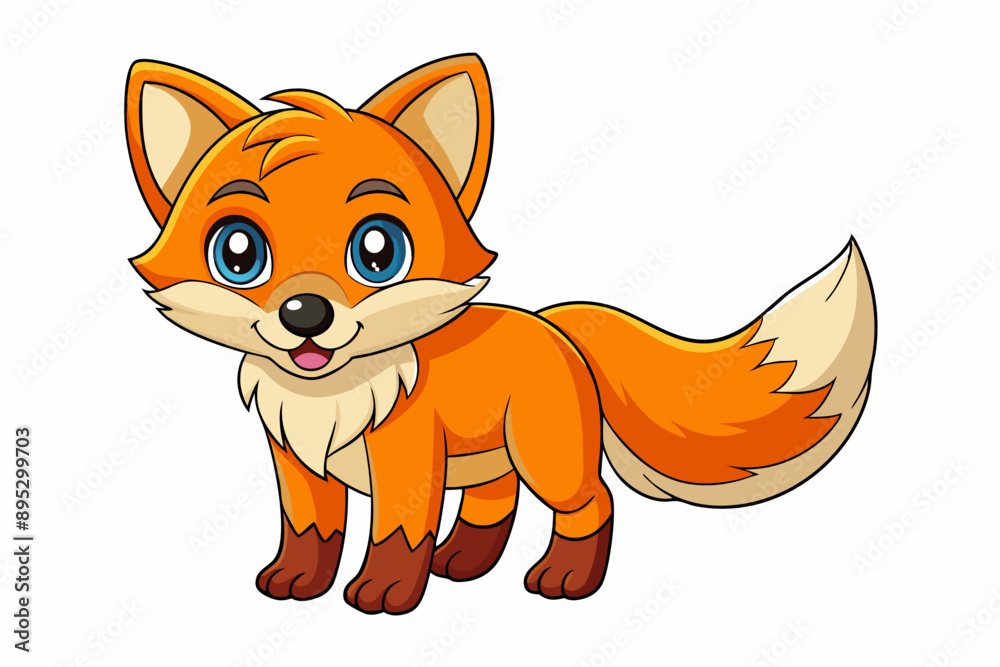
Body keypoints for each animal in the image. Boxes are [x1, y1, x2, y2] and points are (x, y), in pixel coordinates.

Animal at [124, 54, 876, 615]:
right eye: (239, 253)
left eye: (377, 252)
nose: (305, 314)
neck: (334, 397)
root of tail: (555, 322)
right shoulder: (296, 462)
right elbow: (311, 529)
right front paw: (296, 583)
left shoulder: (407, 463)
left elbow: (397, 535)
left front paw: (385, 593)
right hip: (492, 454)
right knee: (495, 502)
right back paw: (463, 561)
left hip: (547, 456)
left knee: (592, 501)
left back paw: (565, 580)